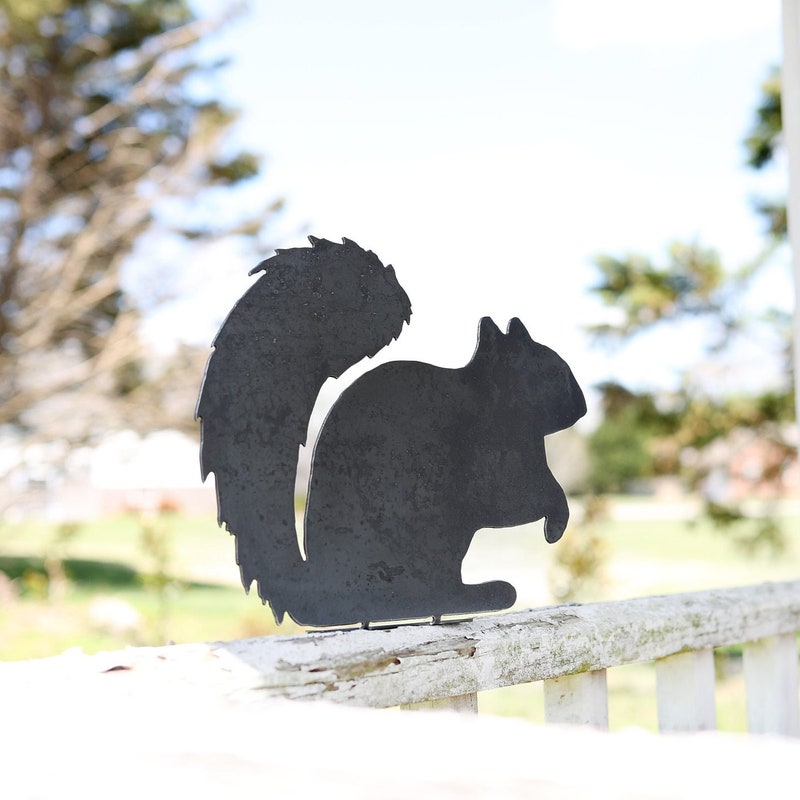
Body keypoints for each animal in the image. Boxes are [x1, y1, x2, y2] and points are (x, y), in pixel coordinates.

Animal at [196, 237, 586, 628]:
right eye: (552, 372)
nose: (582, 407)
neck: (494, 399)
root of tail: (324, 589)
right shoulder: (494, 462)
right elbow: (518, 502)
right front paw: (556, 524)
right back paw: (466, 596)